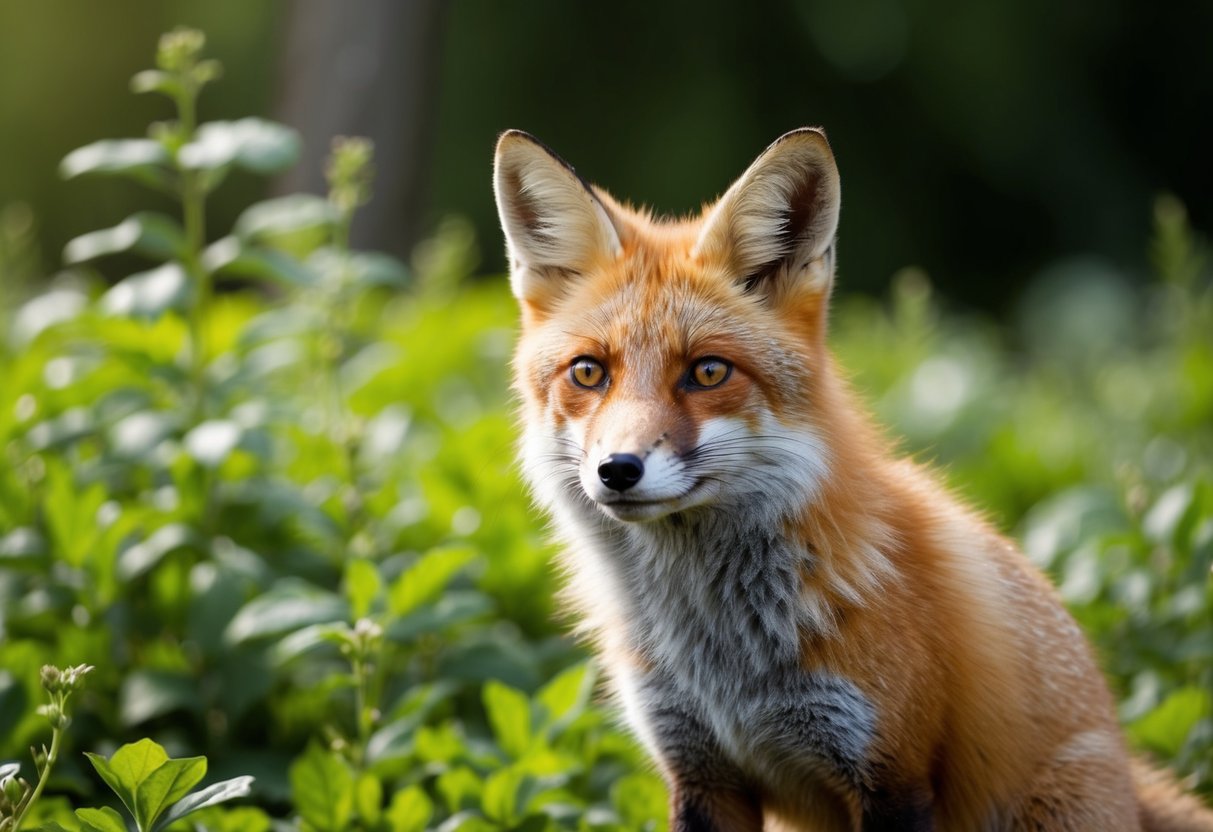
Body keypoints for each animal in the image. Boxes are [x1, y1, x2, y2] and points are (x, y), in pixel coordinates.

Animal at [492, 127, 1213, 831]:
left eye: (707, 372)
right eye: (589, 372)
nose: (618, 470)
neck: (723, 662)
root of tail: (1126, 770)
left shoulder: (893, 773)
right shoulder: (700, 774)